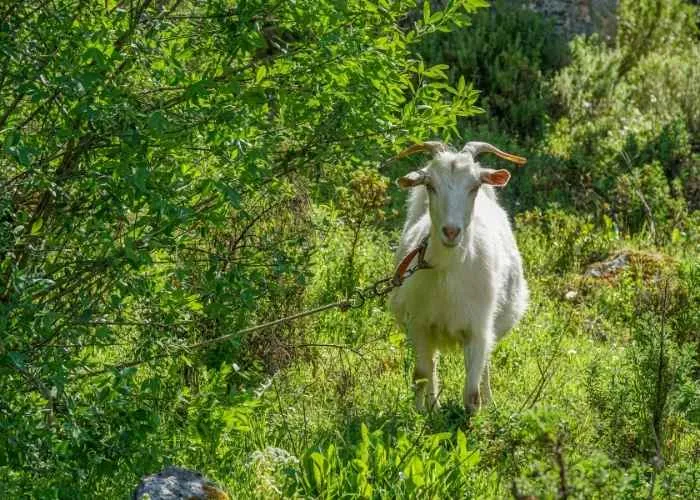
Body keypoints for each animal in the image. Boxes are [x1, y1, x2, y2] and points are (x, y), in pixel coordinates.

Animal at [389, 141, 529, 413]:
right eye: (430, 185)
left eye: (474, 186)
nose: (451, 231)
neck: (448, 273)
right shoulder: (420, 325)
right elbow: (421, 374)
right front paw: (421, 413)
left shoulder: (478, 329)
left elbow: (472, 394)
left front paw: (476, 414)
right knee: (432, 366)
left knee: (484, 368)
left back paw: (490, 402)